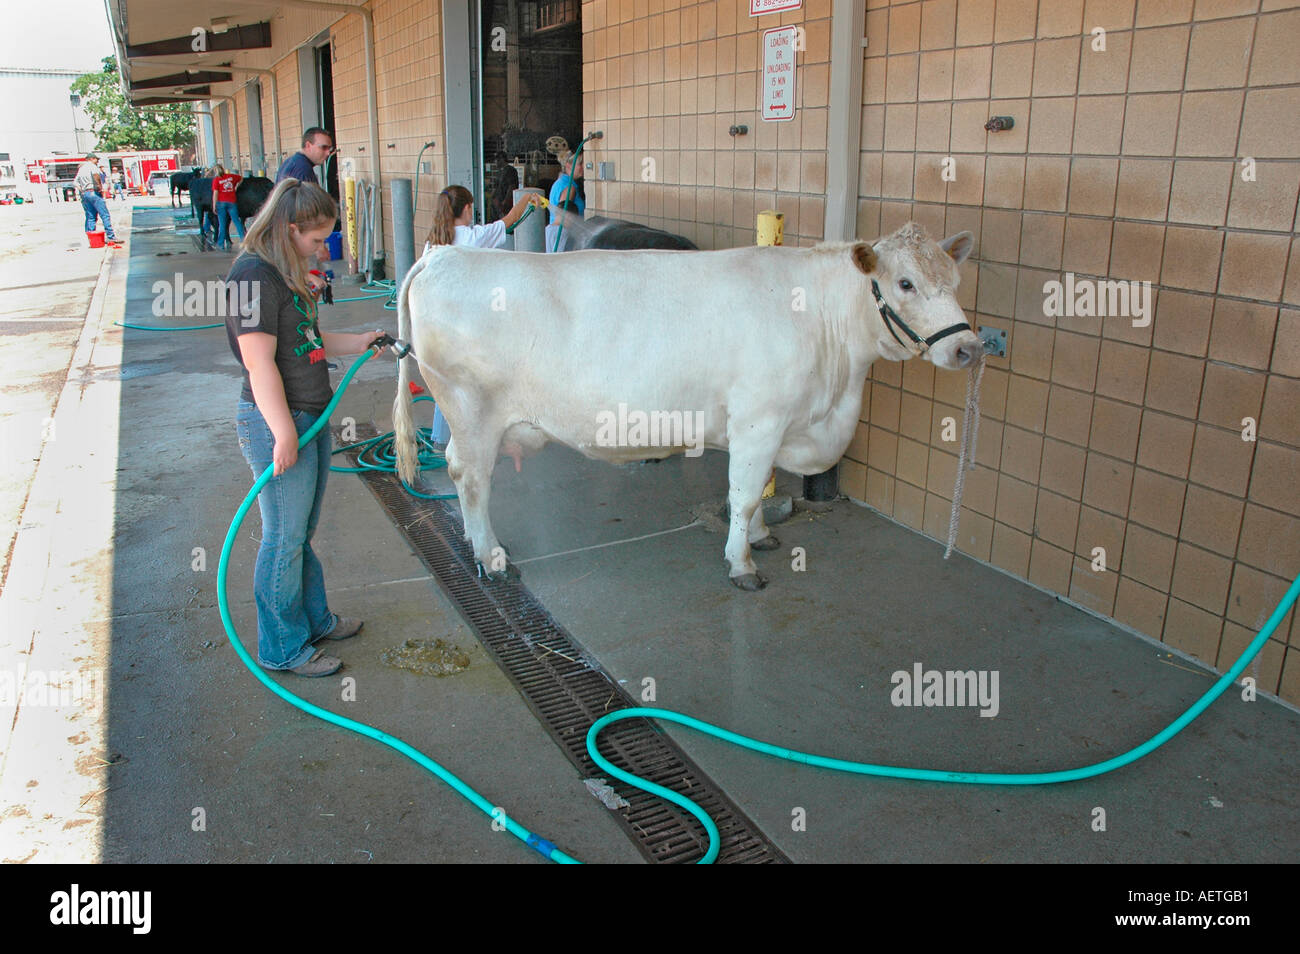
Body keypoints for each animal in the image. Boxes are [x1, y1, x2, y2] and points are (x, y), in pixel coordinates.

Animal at [392, 222, 980, 590]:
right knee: (470, 479)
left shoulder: (773, 425)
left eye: (955, 281)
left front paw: (761, 538)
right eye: (905, 283)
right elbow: (744, 494)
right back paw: (490, 559)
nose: (968, 348)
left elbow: (755, 492)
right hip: (471, 411)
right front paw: (742, 563)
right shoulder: (759, 420)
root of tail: (442, 255)